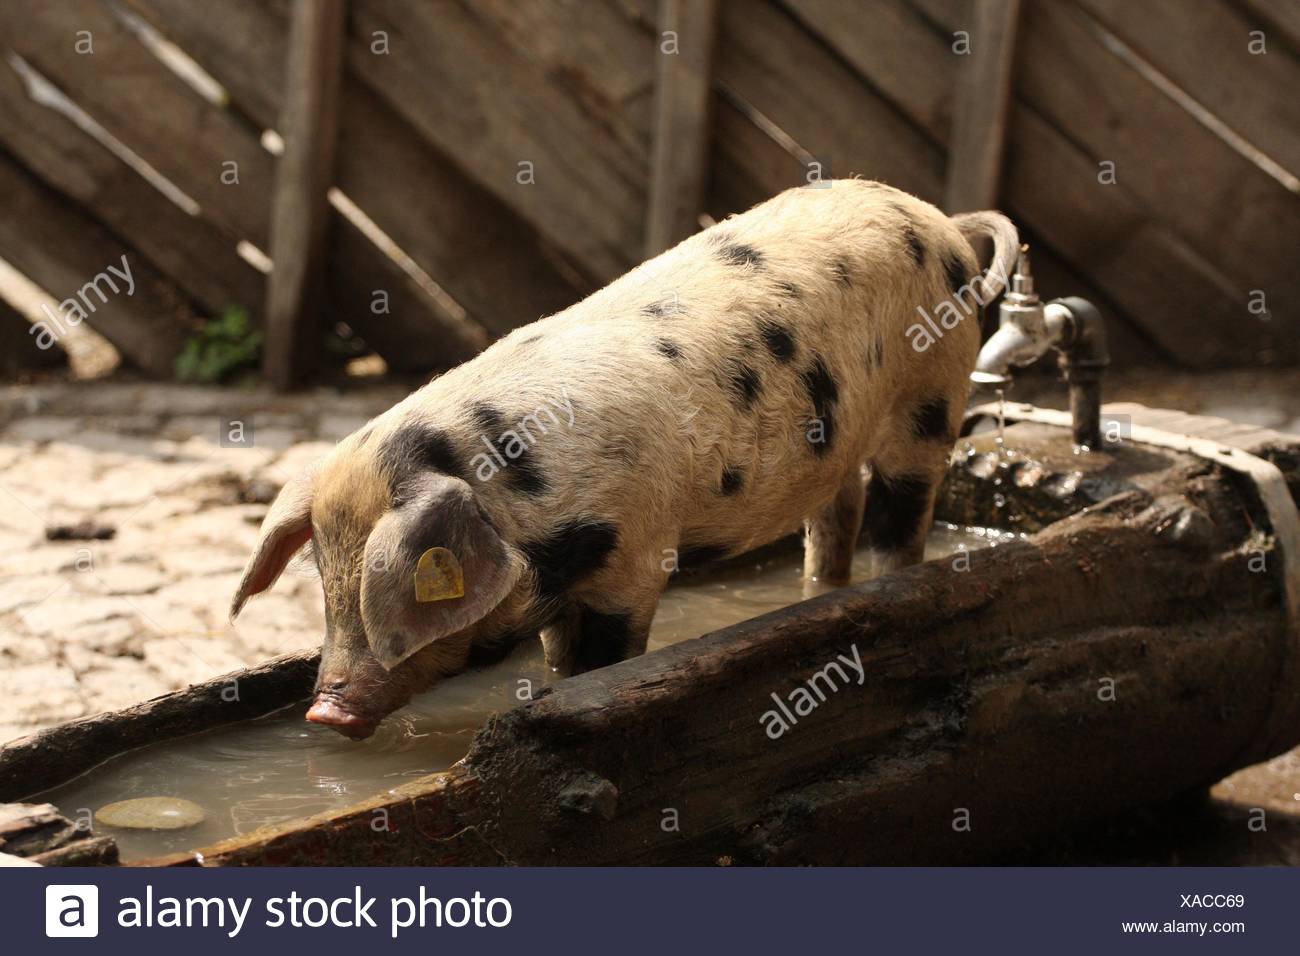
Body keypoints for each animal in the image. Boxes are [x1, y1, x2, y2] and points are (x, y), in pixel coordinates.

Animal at [231, 179, 1019, 739]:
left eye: (383, 584)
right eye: (324, 576)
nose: (325, 711)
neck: (525, 500)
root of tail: (943, 223)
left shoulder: (635, 558)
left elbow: (607, 656)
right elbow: (555, 652)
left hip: (932, 397)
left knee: (903, 515)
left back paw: (887, 586)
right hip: (836, 444)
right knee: (836, 516)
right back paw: (820, 592)